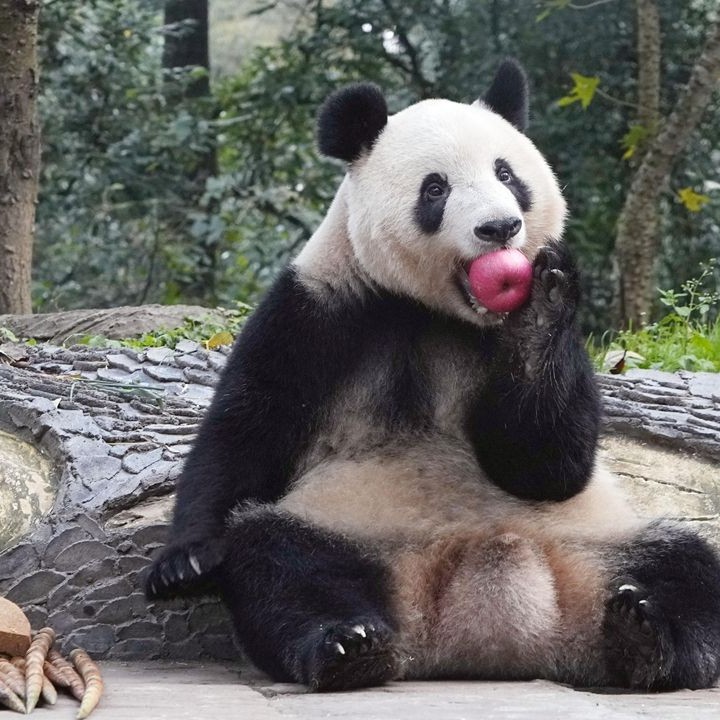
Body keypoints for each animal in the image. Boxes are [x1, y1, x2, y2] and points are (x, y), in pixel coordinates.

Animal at [146, 60, 720, 692]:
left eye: (506, 173)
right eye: (436, 188)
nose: (500, 228)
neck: (440, 312)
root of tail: (491, 630)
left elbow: (548, 466)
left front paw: (545, 298)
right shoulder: (321, 306)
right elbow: (247, 427)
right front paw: (184, 562)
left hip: (598, 543)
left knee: (684, 563)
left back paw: (647, 637)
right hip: (353, 530)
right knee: (277, 560)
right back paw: (347, 645)